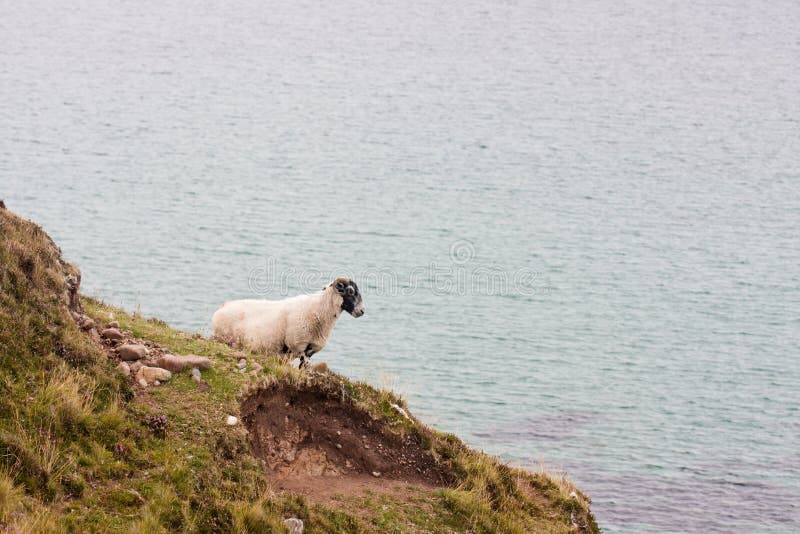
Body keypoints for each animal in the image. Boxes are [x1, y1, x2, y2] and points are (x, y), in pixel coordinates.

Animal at [212, 277, 365, 368]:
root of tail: (223, 306)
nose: (362, 311)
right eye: (350, 291)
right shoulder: (299, 344)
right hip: (224, 339)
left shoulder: (310, 350)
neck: (318, 309)